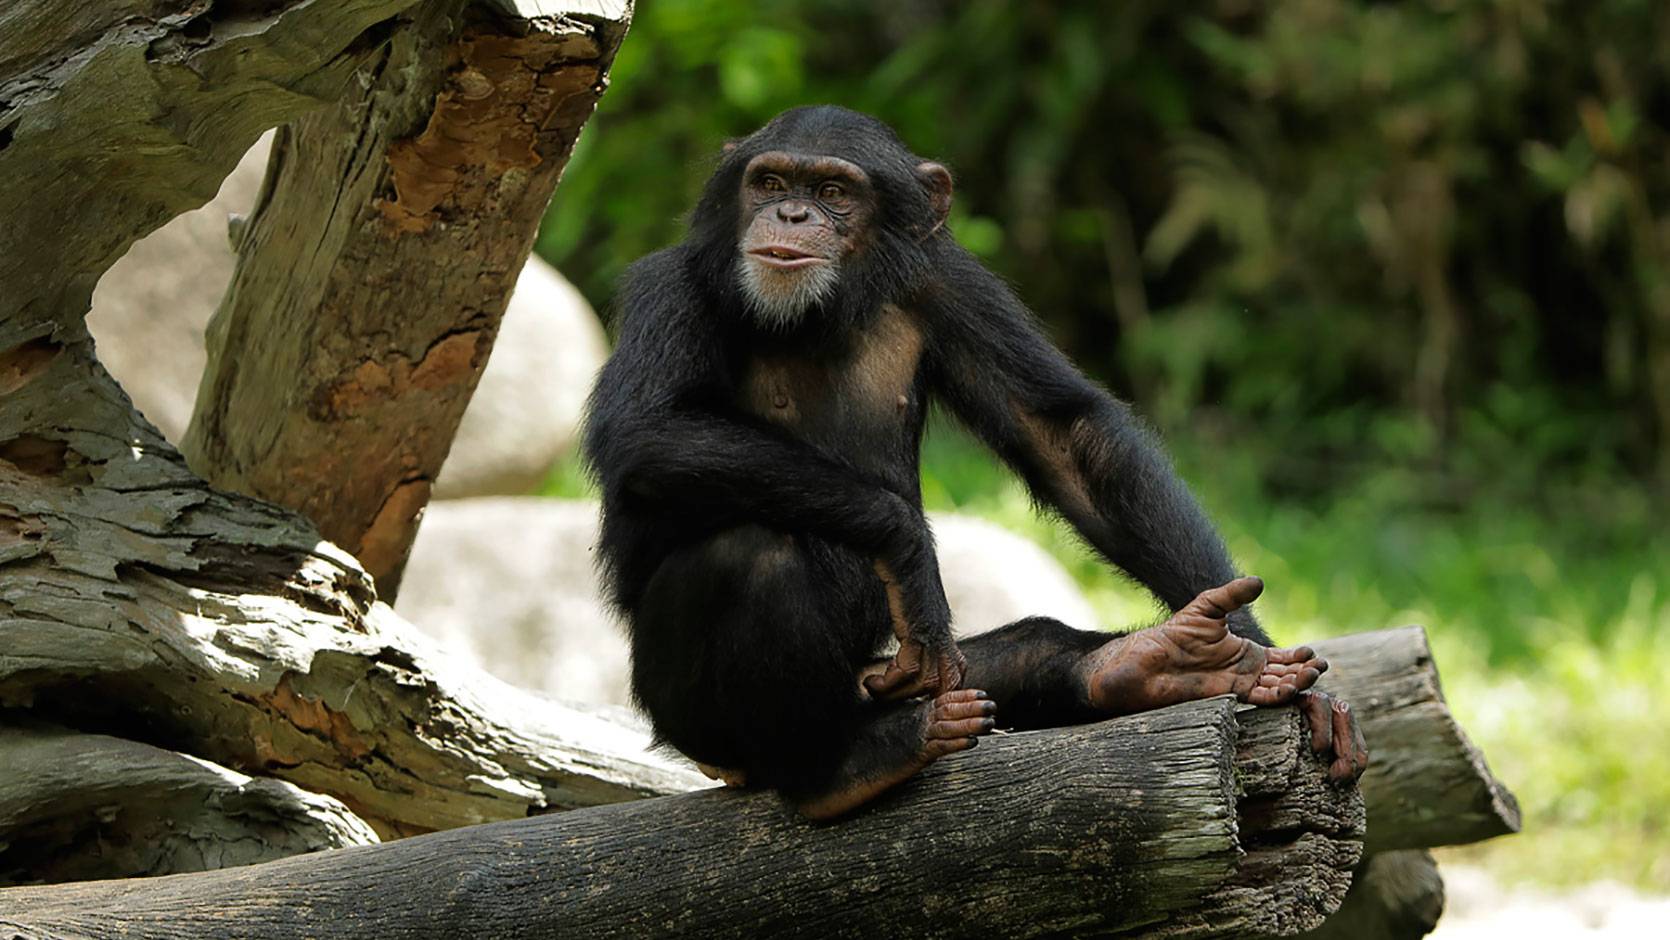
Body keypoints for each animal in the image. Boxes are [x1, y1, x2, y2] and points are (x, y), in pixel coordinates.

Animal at [585, 105, 1367, 819]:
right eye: (770, 179)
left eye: (835, 191)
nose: (792, 210)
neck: (822, 311)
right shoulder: (670, 286)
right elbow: (648, 434)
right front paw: (907, 549)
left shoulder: (952, 283)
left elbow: (1062, 435)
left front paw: (1270, 659)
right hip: (697, 723)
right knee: (754, 555)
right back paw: (843, 768)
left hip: (884, 677)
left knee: (1015, 654)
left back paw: (1160, 661)